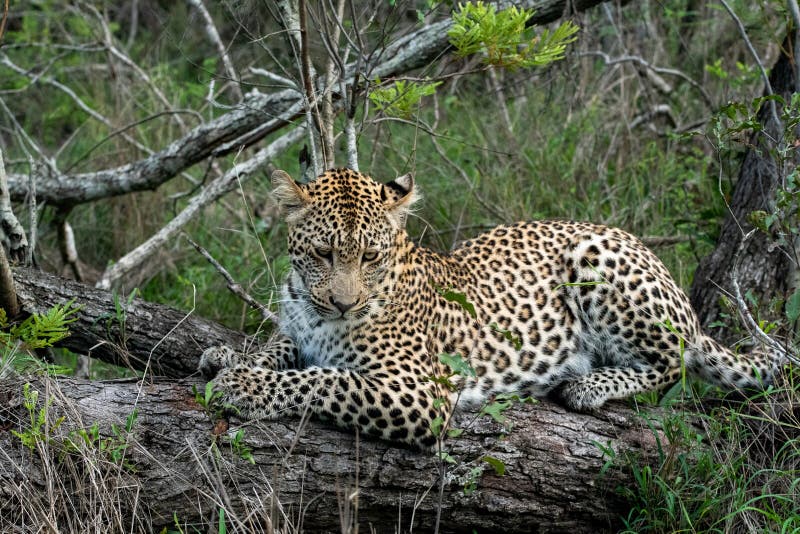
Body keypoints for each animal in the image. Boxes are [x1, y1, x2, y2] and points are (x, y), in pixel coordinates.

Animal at [199, 167, 778, 449]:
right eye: (323, 254)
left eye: (370, 256)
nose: (344, 303)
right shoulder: (298, 328)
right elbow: (279, 347)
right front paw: (228, 358)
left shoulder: (417, 392)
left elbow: (323, 379)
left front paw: (242, 387)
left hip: (596, 260)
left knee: (672, 364)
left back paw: (587, 384)